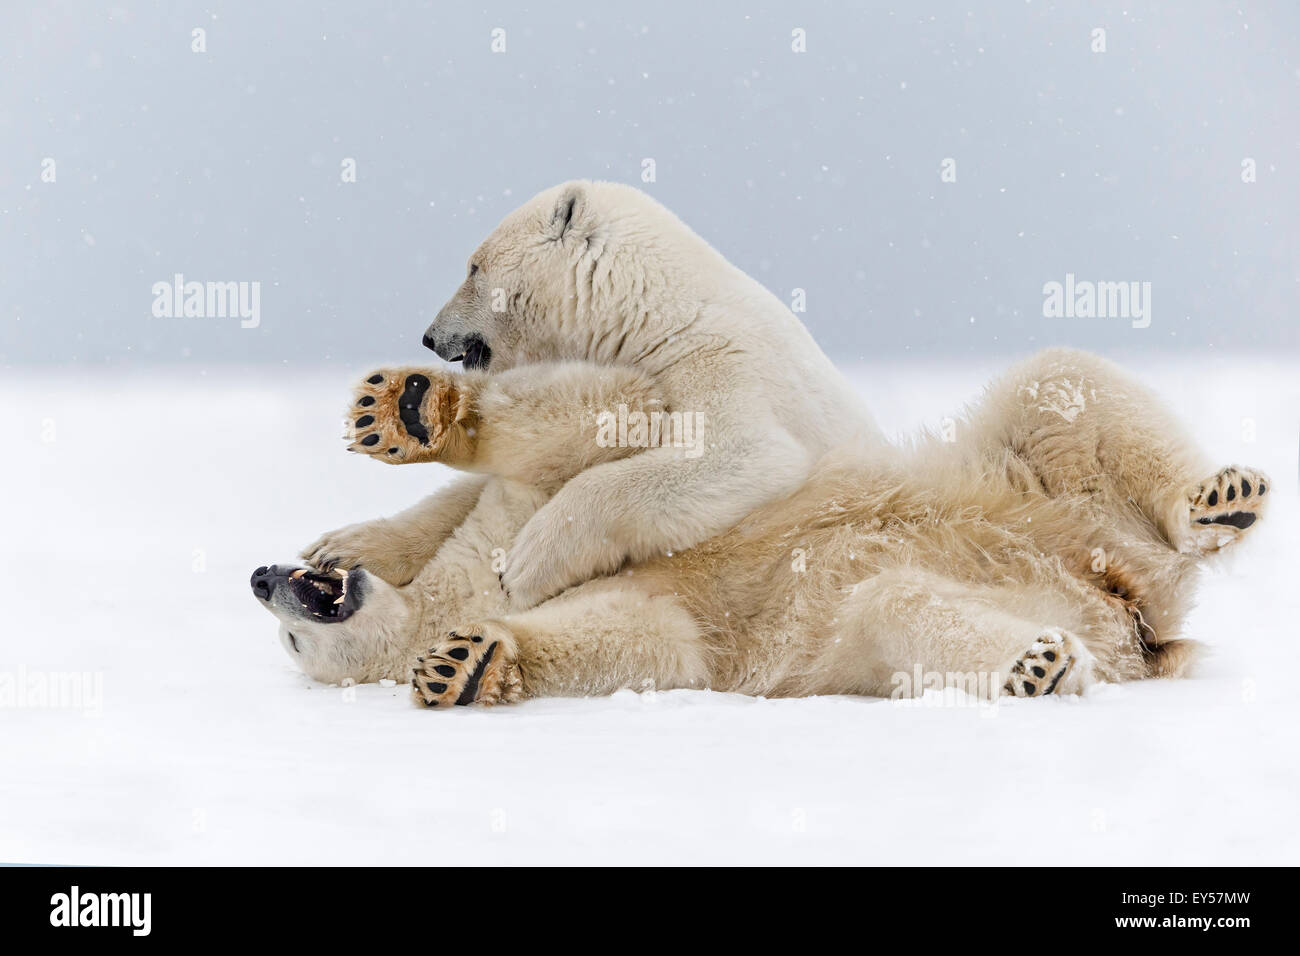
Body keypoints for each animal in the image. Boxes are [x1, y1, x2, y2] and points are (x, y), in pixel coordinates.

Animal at [252, 348, 1269, 705]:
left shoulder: (509, 515)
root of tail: (1132, 614)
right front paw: (461, 665)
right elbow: (641, 639)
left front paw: (410, 411)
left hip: (1050, 500)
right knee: (899, 611)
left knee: (1061, 385)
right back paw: (1040, 665)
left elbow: (598, 424)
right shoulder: (672, 627)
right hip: (881, 625)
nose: (261, 580)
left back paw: (1219, 501)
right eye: (292, 648)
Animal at [301, 181, 880, 609]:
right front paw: (340, 547)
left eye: (474, 267)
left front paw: (524, 565)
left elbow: (741, 454)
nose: (429, 335)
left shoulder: (722, 362)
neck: (654, 317)